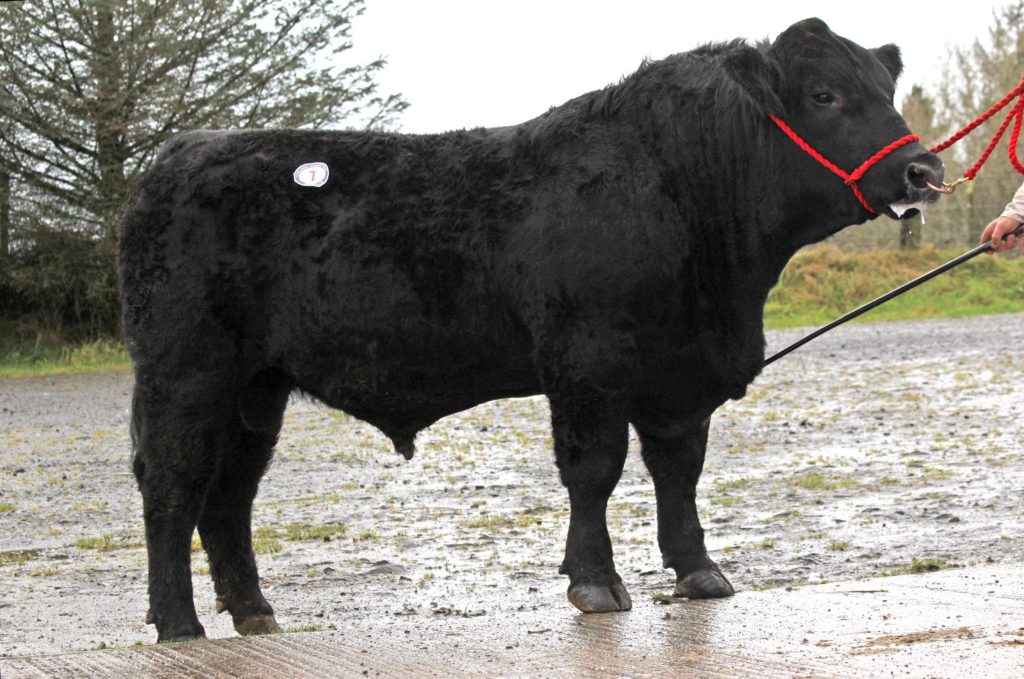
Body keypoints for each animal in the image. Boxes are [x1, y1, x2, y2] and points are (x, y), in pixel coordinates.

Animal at [119, 18, 944, 642]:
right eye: (825, 94)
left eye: (885, 91)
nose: (923, 171)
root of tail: (182, 152)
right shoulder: (586, 360)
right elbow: (593, 469)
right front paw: (596, 581)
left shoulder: (681, 377)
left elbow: (679, 472)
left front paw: (700, 572)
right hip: (185, 369)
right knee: (174, 482)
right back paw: (178, 623)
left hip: (257, 388)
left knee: (230, 493)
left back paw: (254, 612)